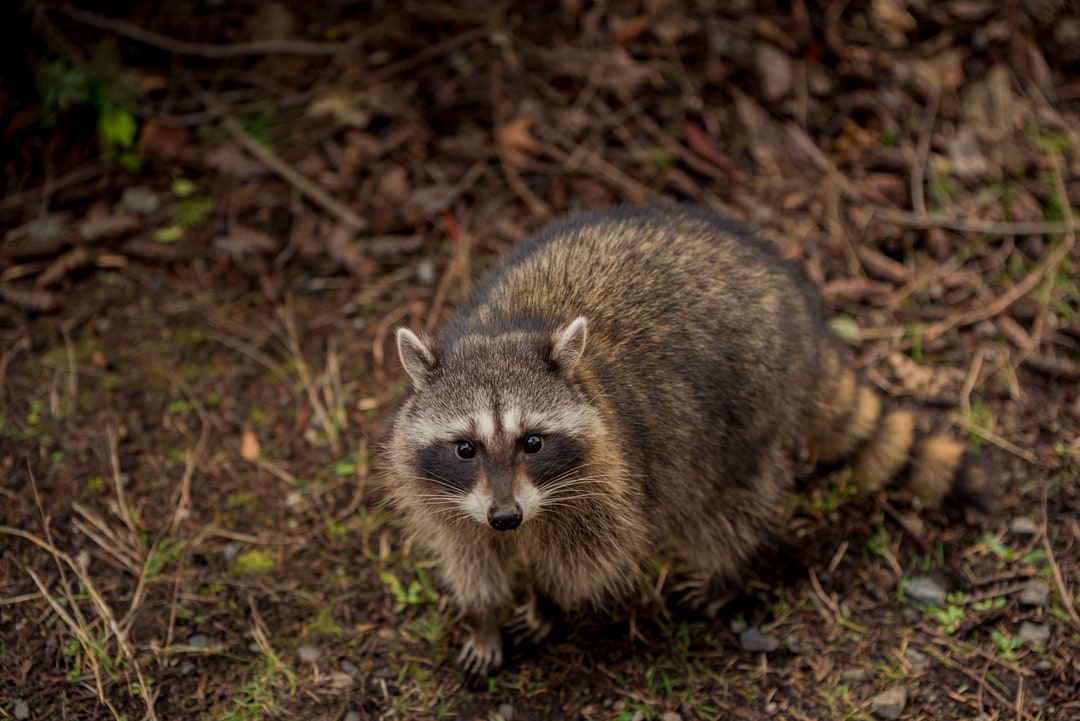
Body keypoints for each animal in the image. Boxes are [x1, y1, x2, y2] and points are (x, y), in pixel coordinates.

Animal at [385, 205, 990, 683]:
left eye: (532, 442)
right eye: (465, 448)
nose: (506, 518)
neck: (503, 330)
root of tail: (797, 308)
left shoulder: (610, 485)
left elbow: (585, 563)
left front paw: (546, 603)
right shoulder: (448, 497)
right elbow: (469, 556)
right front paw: (481, 620)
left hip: (748, 411)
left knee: (727, 506)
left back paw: (726, 571)